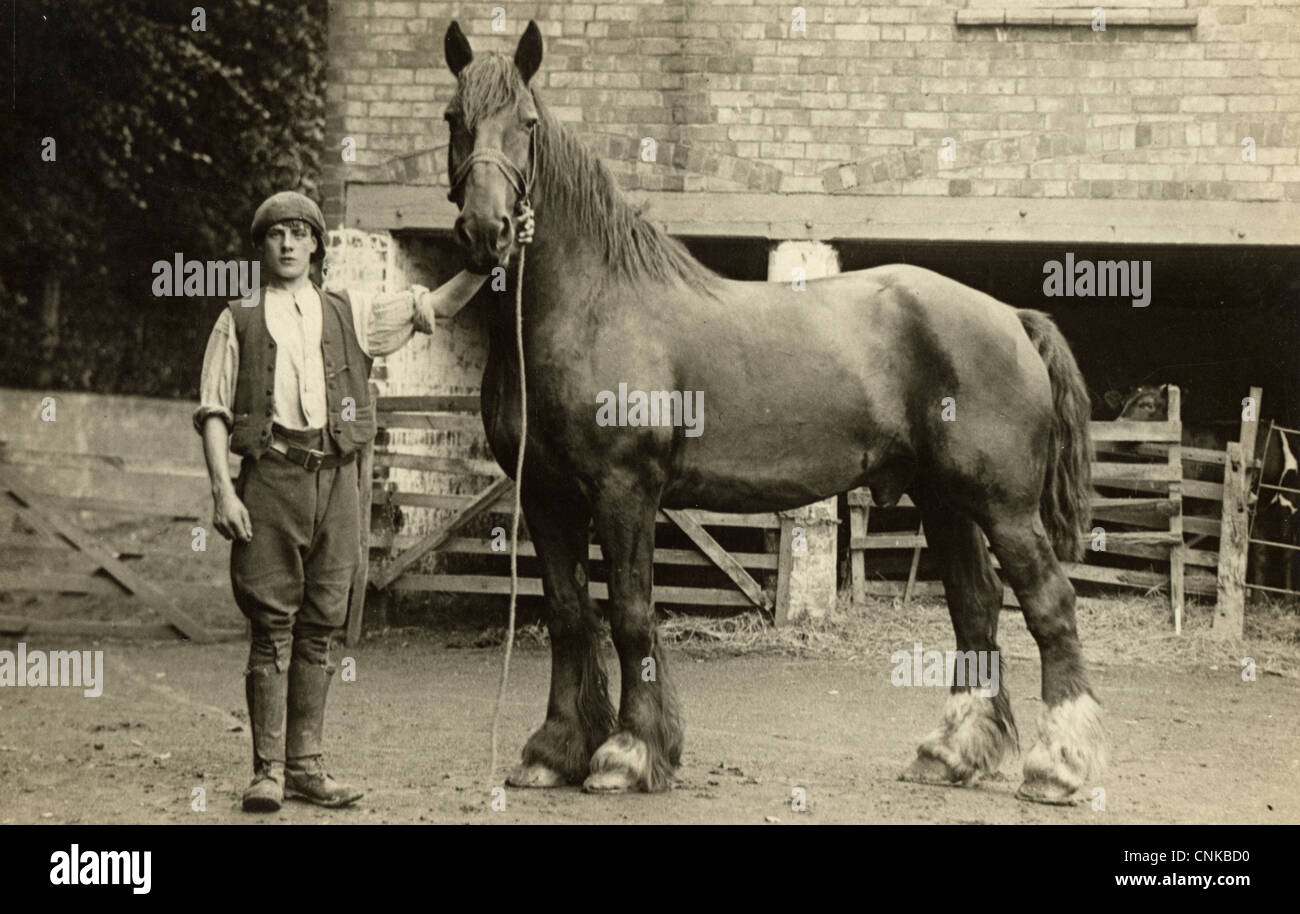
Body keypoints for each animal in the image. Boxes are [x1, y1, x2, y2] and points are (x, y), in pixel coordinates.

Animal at [442, 20, 1103, 804]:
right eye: (453, 119)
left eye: (528, 124)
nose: (486, 228)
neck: (589, 309)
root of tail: (1010, 317)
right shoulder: (545, 495)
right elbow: (570, 613)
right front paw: (556, 748)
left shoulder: (625, 491)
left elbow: (630, 614)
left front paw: (629, 752)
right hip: (944, 499)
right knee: (976, 606)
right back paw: (950, 753)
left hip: (1003, 506)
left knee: (1050, 605)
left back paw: (1057, 766)